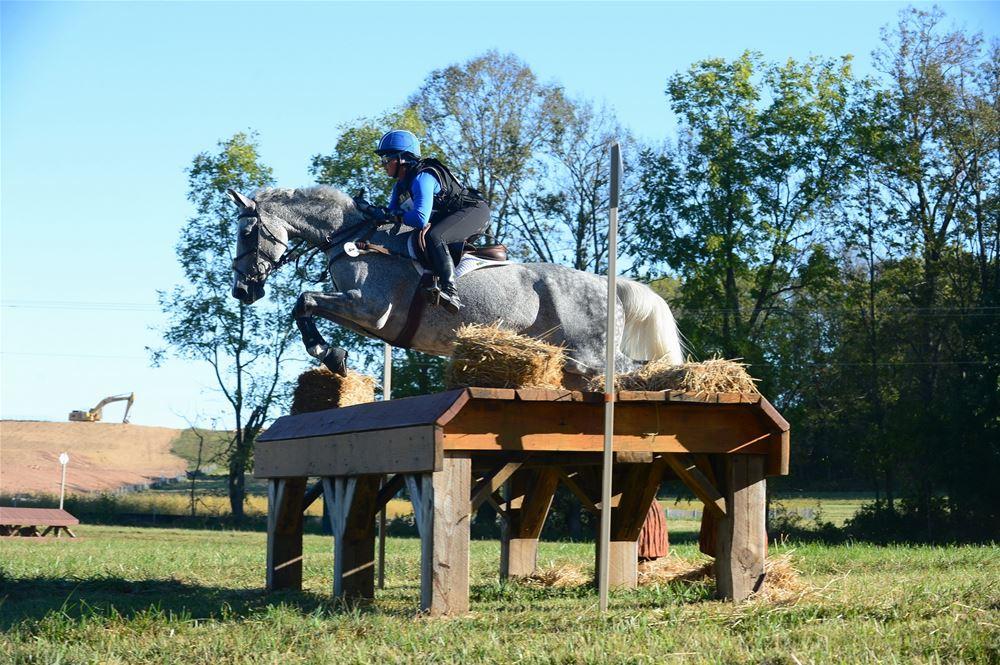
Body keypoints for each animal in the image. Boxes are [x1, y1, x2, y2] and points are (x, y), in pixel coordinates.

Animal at [228, 185, 683, 389]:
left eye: (247, 233)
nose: (242, 292)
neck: (352, 235)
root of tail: (611, 284)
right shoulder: (366, 318)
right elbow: (305, 305)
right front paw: (333, 355)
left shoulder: (369, 307)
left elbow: (304, 299)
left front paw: (329, 354)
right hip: (573, 363)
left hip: (591, 354)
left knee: (638, 368)